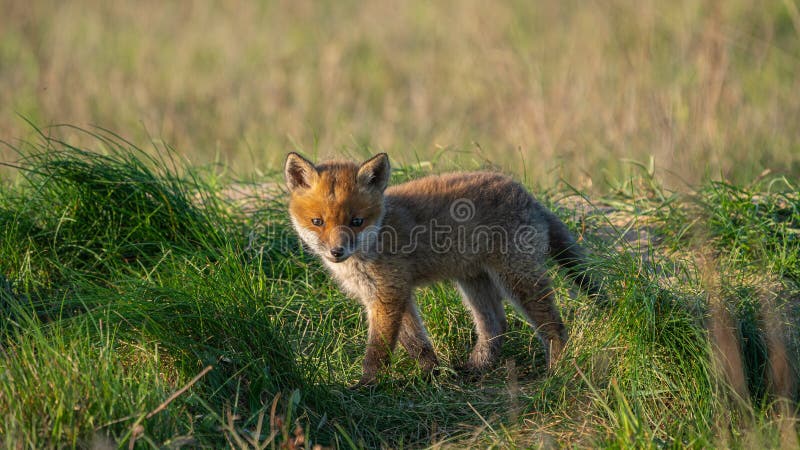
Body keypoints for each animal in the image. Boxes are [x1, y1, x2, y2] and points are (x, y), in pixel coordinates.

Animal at [285, 152, 603, 386]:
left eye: (356, 221)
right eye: (317, 222)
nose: (336, 252)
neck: (377, 238)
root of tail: (529, 195)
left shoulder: (389, 294)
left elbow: (379, 349)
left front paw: (368, 384)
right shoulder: (391, 294)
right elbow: (416, 343)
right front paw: (433, 374)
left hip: (516, 278)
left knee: (553, 325)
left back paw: (557, 369)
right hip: (474, 281)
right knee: (496, 325)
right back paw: (478, 367)